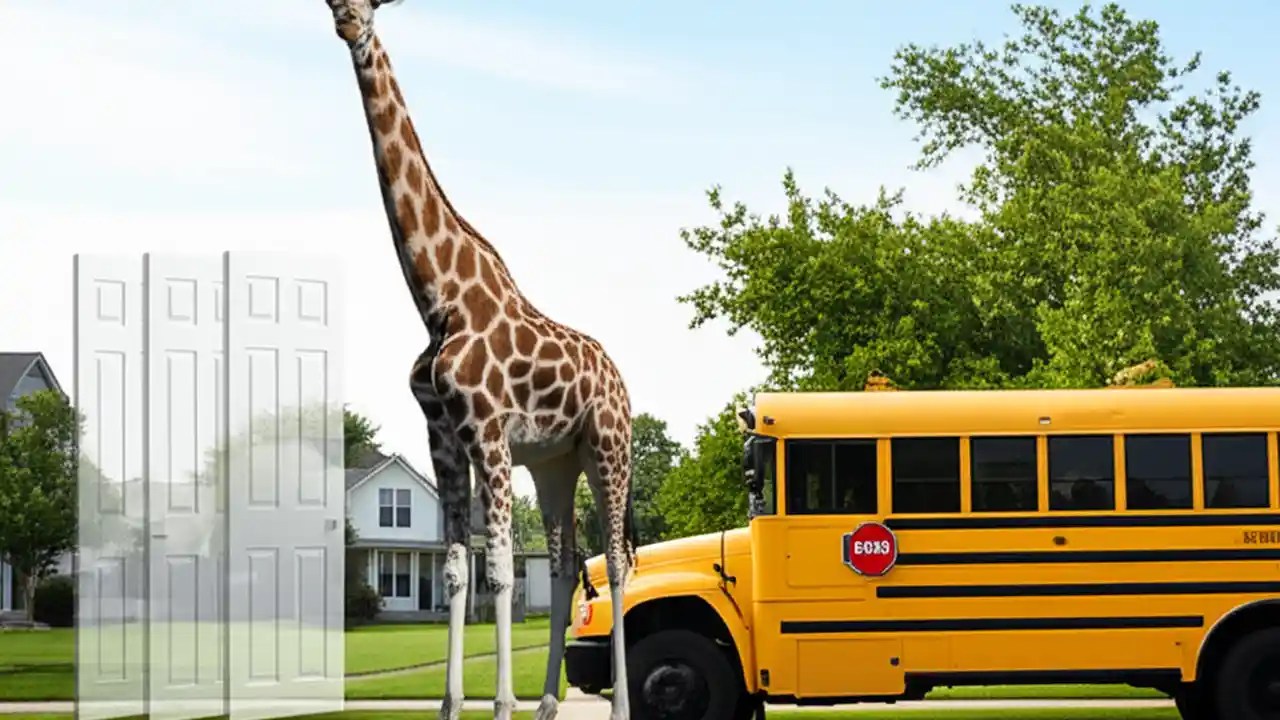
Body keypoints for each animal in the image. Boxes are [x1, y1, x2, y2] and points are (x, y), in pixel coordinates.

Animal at [321, 2, 636, 719]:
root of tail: (623, 383)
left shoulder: (488, 432)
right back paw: (548, 701)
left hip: (609, 449)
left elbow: (499, 571)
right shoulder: (443, 434)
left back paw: (617, 705)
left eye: (372, 7)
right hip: (555, 462)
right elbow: (459, 568)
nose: (349, 23)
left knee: (616, 558)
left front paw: (499, 704)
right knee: (565, 557)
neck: (439, 302)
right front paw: (452, 703)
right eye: (335, 3)